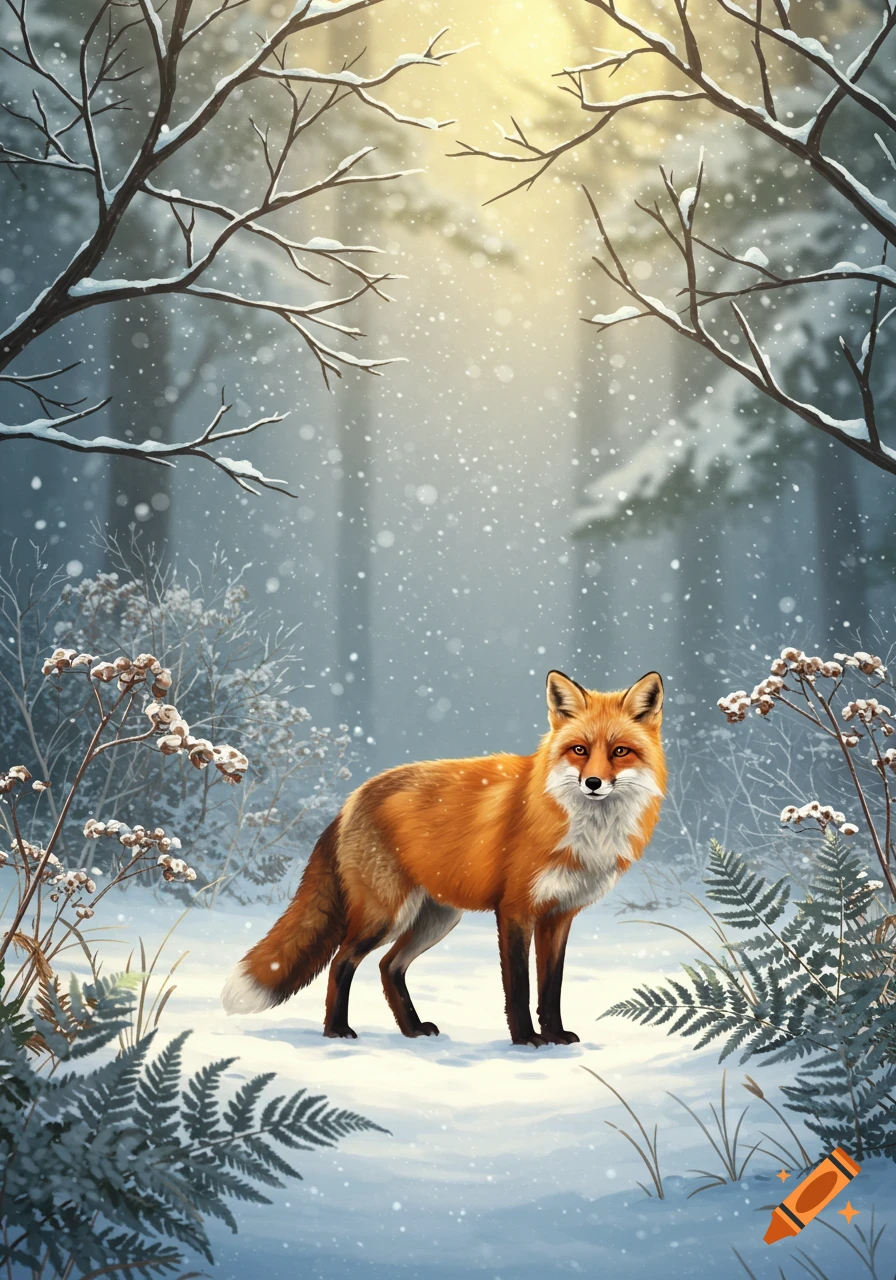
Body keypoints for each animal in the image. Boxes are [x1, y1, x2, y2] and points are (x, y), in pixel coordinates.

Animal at [221, 669, 666, 1046]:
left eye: (620, 751)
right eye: (579, 749)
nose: (593, 783)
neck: (581, 829)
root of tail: (351, 800)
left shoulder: (559, 915)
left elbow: (550, 988)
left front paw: (555, 1037)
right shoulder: (515, 910)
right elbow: (519, 988)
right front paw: (527, 1041)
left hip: (436, 918)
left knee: (388, 967)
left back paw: (412, 1029)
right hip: (386, 914)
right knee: (342, 962)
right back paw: (337, 1031)